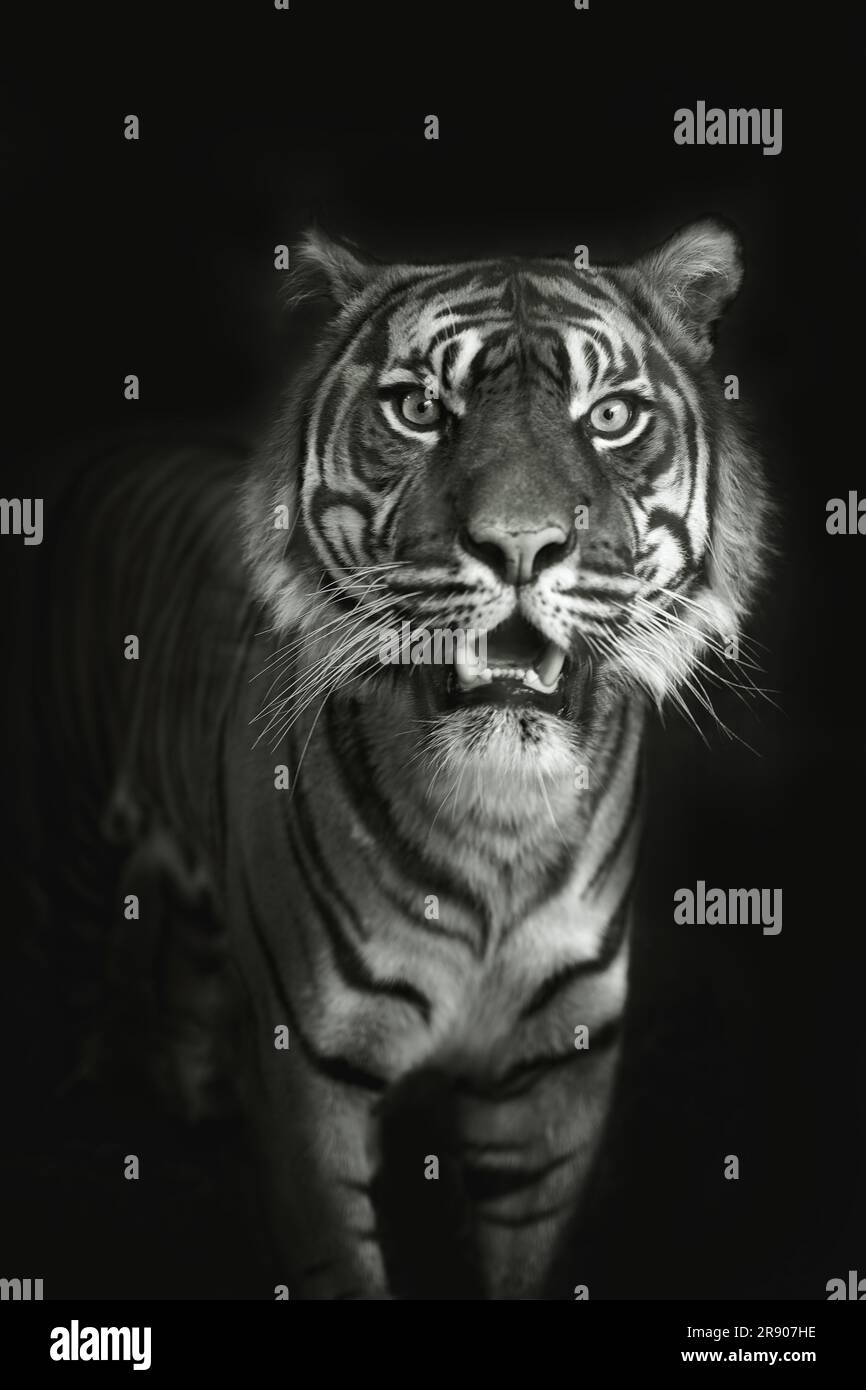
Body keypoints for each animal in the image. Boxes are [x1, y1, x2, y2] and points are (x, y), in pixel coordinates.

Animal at [20, 218, 768, 1300]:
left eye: (611, 417)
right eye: (418, 410)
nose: (520, 544)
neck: (499, 822)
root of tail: (118, 442)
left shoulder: (555, 1072)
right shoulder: (308, 1070)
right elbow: (337, 1258)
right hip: (70, 831)